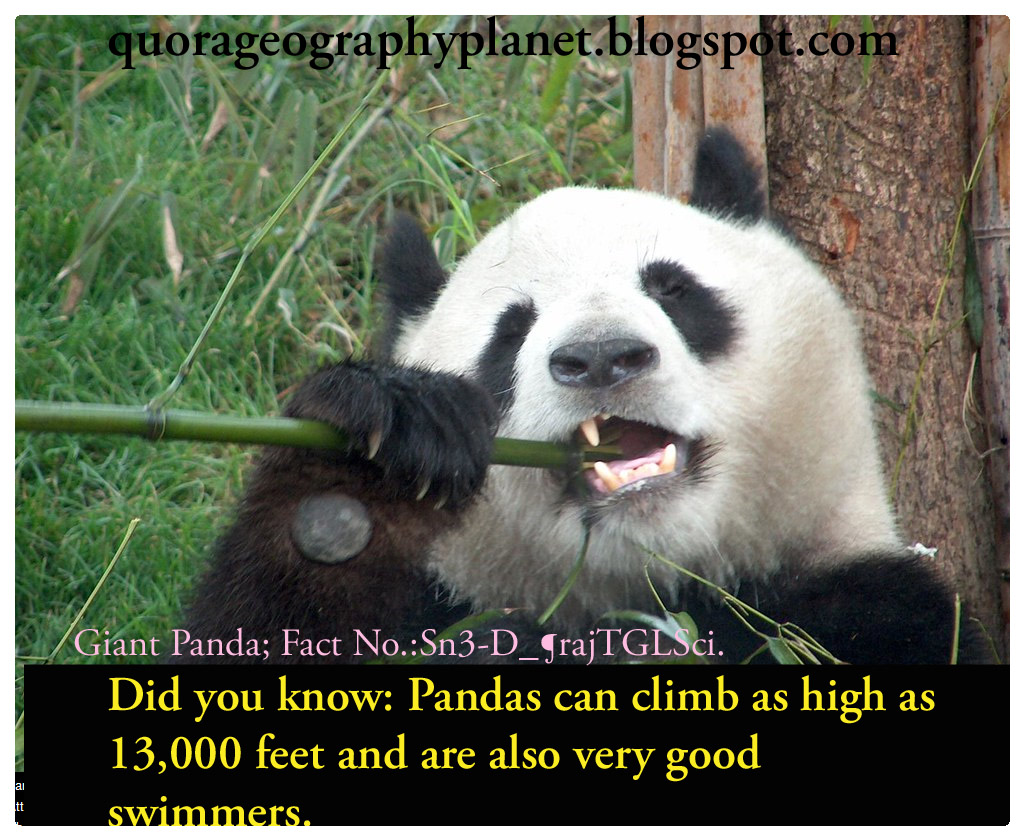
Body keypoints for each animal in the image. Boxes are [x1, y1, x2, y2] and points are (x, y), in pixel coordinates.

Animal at [186, 128, 962, 665]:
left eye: (675, 291)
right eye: (510, 333)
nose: (600, 359)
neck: (654, 582)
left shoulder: (869, 605)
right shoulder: (433, 600)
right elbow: (264, 628)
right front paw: (385, 441)